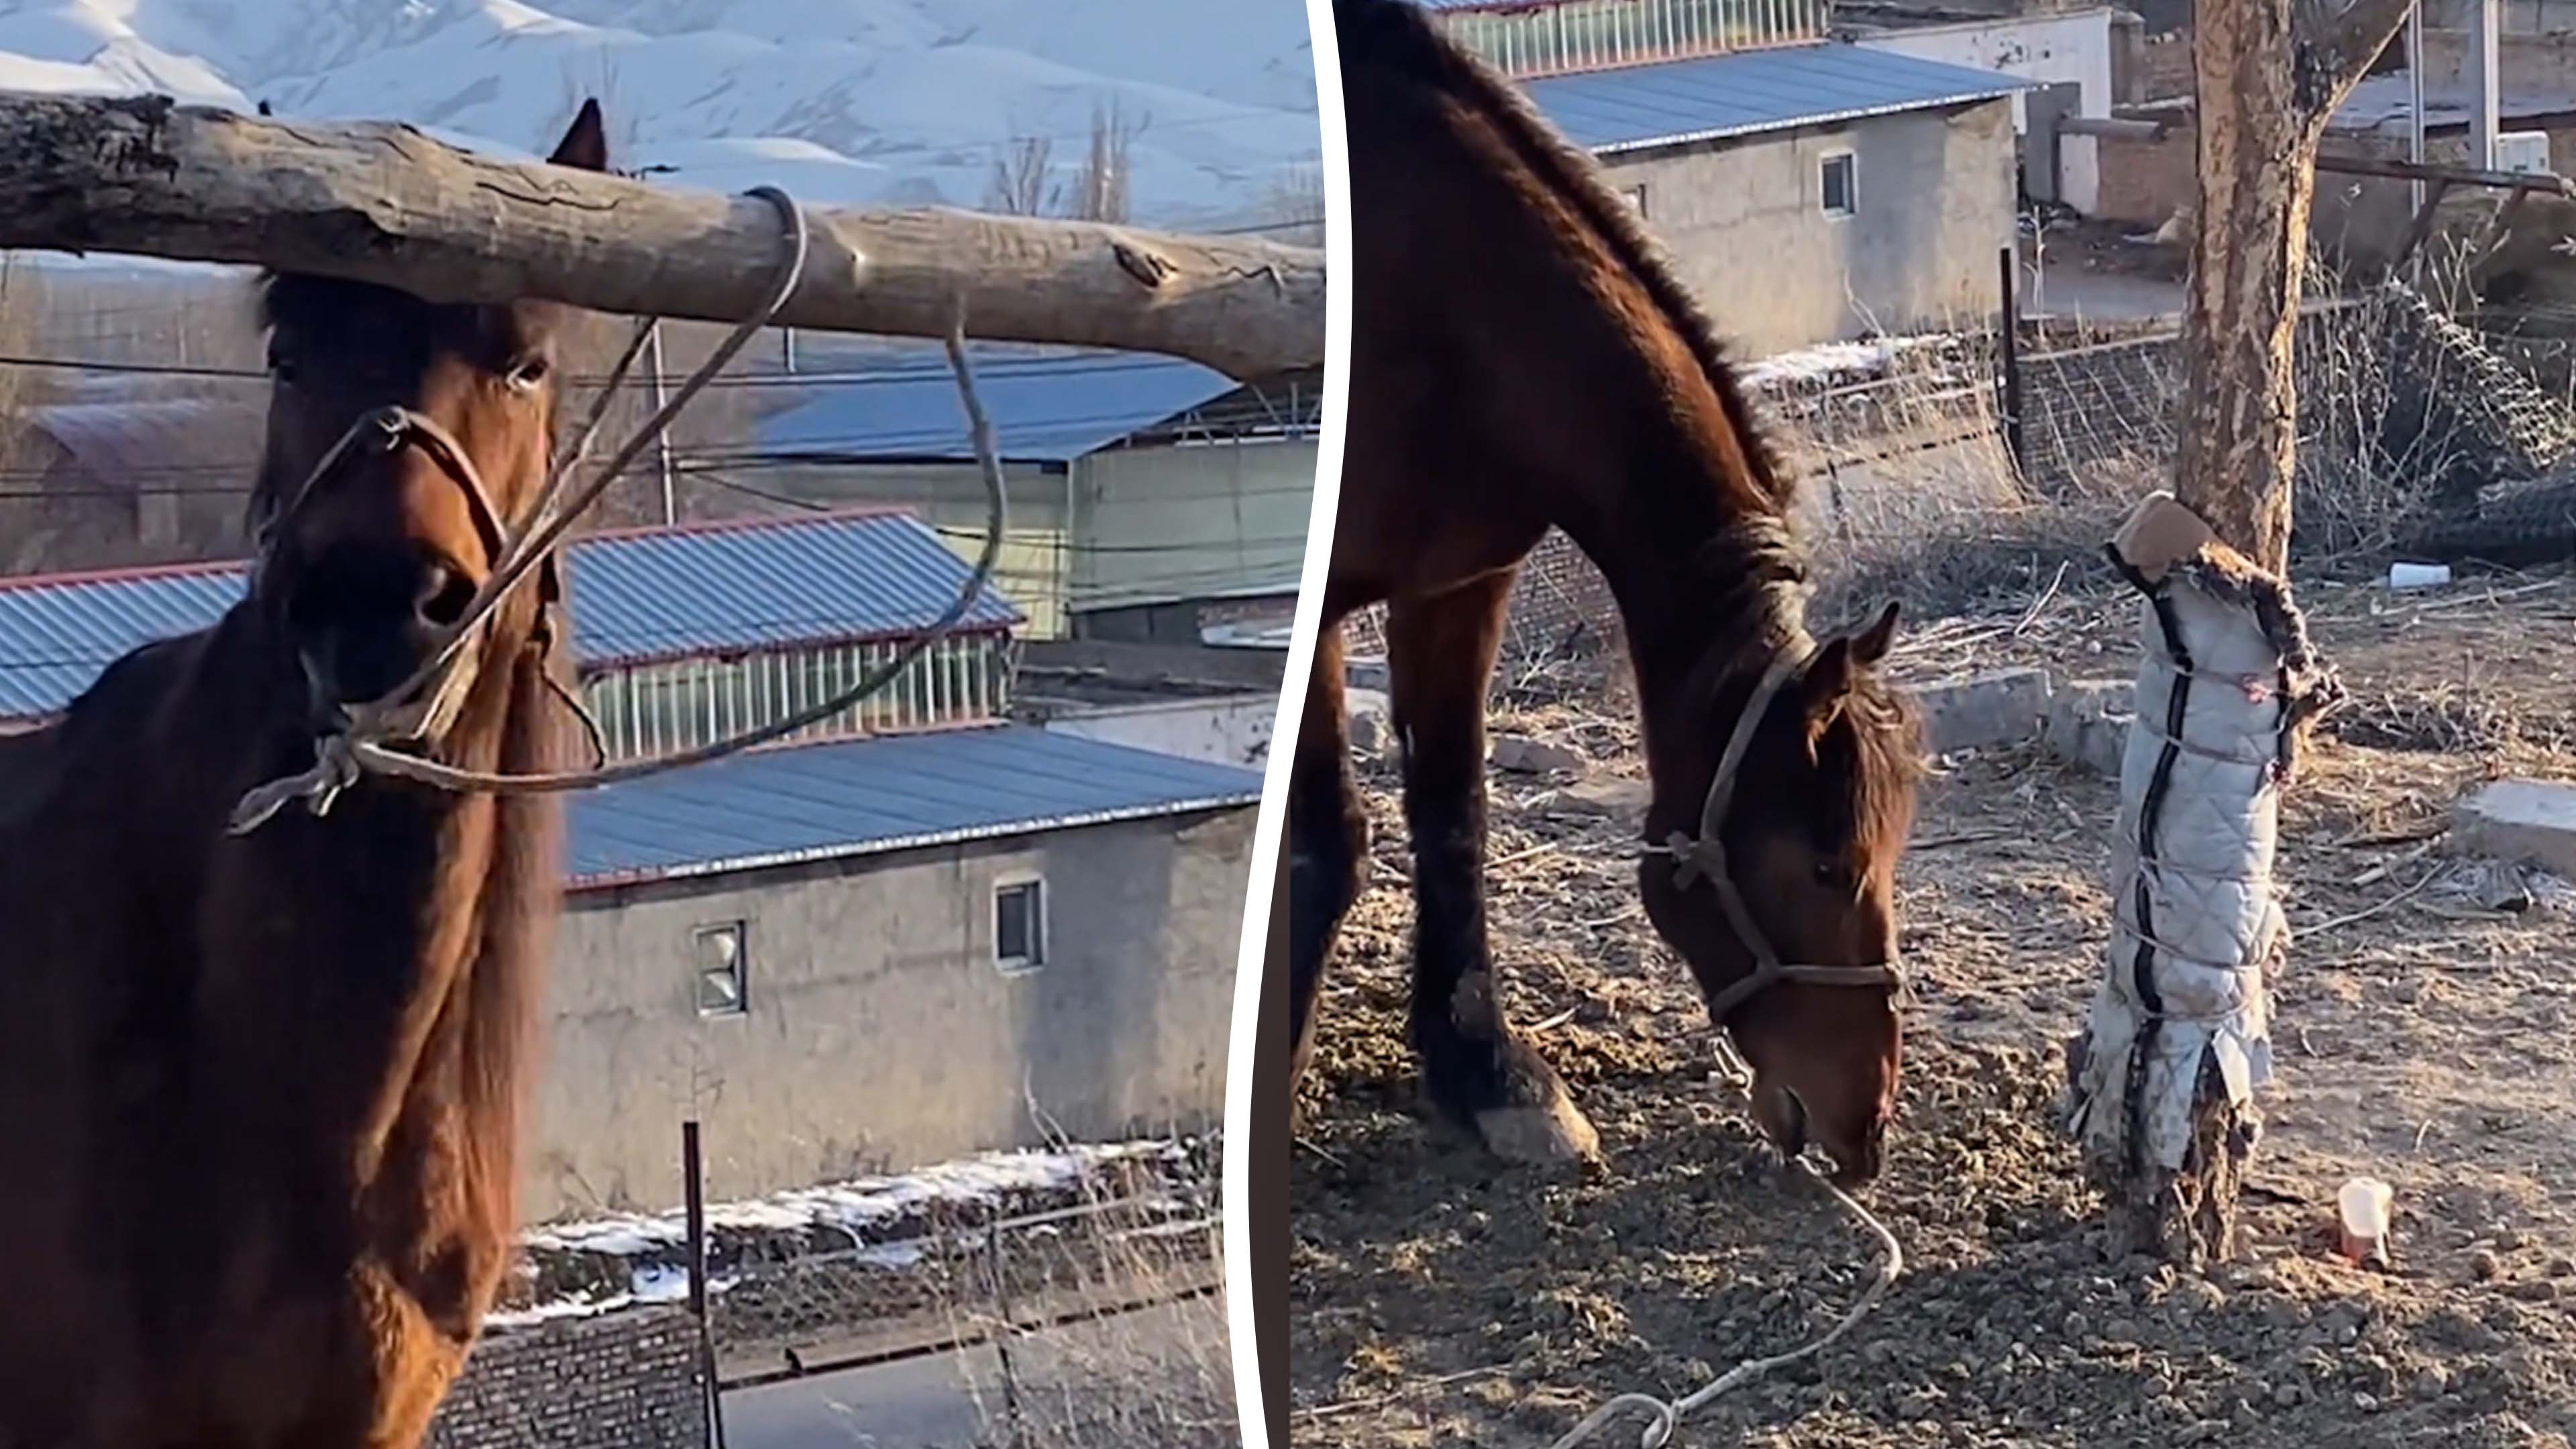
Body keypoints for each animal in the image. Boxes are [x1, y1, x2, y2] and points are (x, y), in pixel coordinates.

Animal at [1289, 0, 1924, 1187]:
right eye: (1825, 865)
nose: (1865, 1125)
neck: (1442, 296)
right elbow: (1327, 838)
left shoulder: (1461, 580)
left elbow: (1454, 813)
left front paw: (1490, 1074)